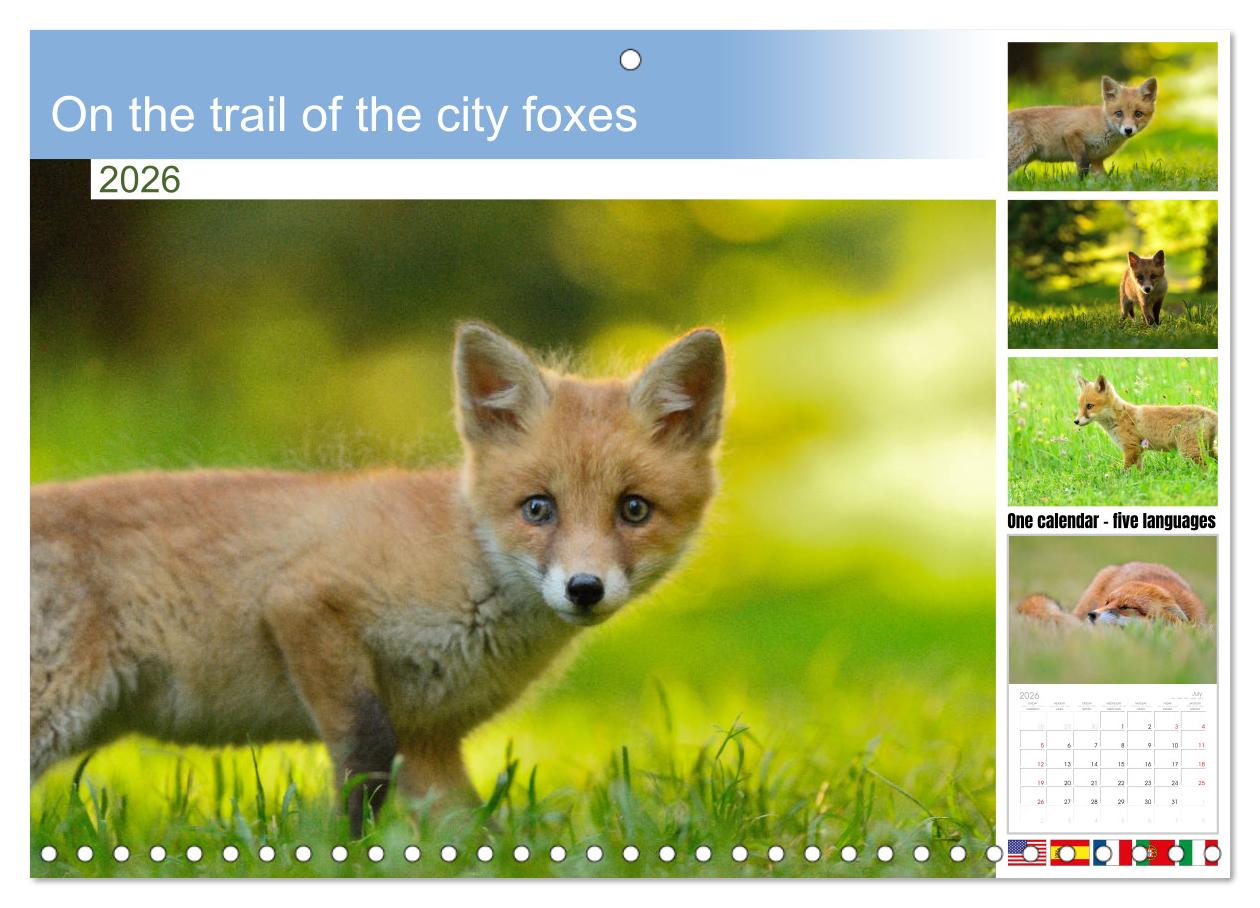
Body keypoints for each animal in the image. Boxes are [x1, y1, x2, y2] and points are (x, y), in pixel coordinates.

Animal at [30, 322, 726, 835]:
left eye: (633, 509)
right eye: (538, 508)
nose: (585, 589)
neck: (467, 574)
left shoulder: (429, 737)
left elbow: (474, 833)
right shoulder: (304, 604)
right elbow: (364, 758)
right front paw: (347, 848)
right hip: (53, 710)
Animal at [1008, 76, 1157, 178]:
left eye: (1138, 114)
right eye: (1119, 113)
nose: (1128, 130)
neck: (1104, 126)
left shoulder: (1097, 161)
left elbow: (1104, 180)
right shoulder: (1071, 134)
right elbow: (1082, 166)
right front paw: (1079, 183)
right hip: (1015, 157)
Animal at [1073, 374, 1216, 469]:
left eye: (1089, 406)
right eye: (1080, 406)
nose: (1076, 421)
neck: (1119, 417)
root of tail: (1210, 412)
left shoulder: (1131, 448)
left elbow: (1126, 471)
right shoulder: (1138, 450)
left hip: (1190, 452)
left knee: (1205, 468)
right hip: (1207, 448)